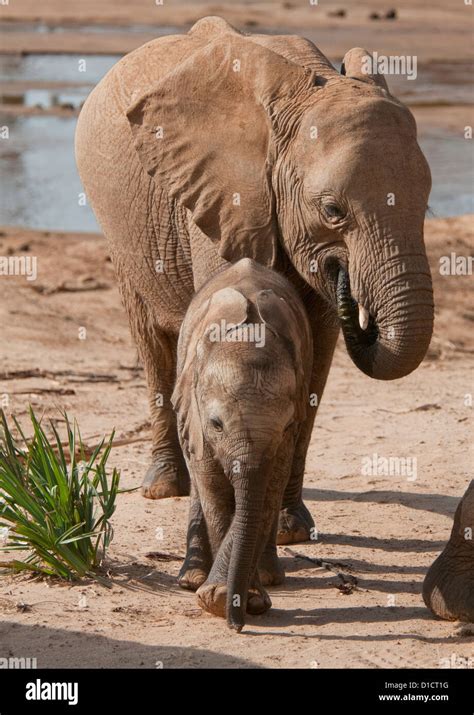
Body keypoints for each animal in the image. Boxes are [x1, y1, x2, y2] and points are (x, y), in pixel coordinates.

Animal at [75, 16, 434, 544]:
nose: (350, 290)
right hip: (118, 227)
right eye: (333, 211)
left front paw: (290, 531)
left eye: (426, 205)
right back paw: (164, 488)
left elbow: (313, 352)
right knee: (151, 340)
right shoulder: (222, 198)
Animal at [172, 257, 313, 631]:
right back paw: (192, 578)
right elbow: (215, 492)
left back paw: (269, 576)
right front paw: (219, 598)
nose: (236, 626)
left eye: (285, 427)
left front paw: (241, 599)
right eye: (217, 424)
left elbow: (266, 492)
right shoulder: (195, 413)